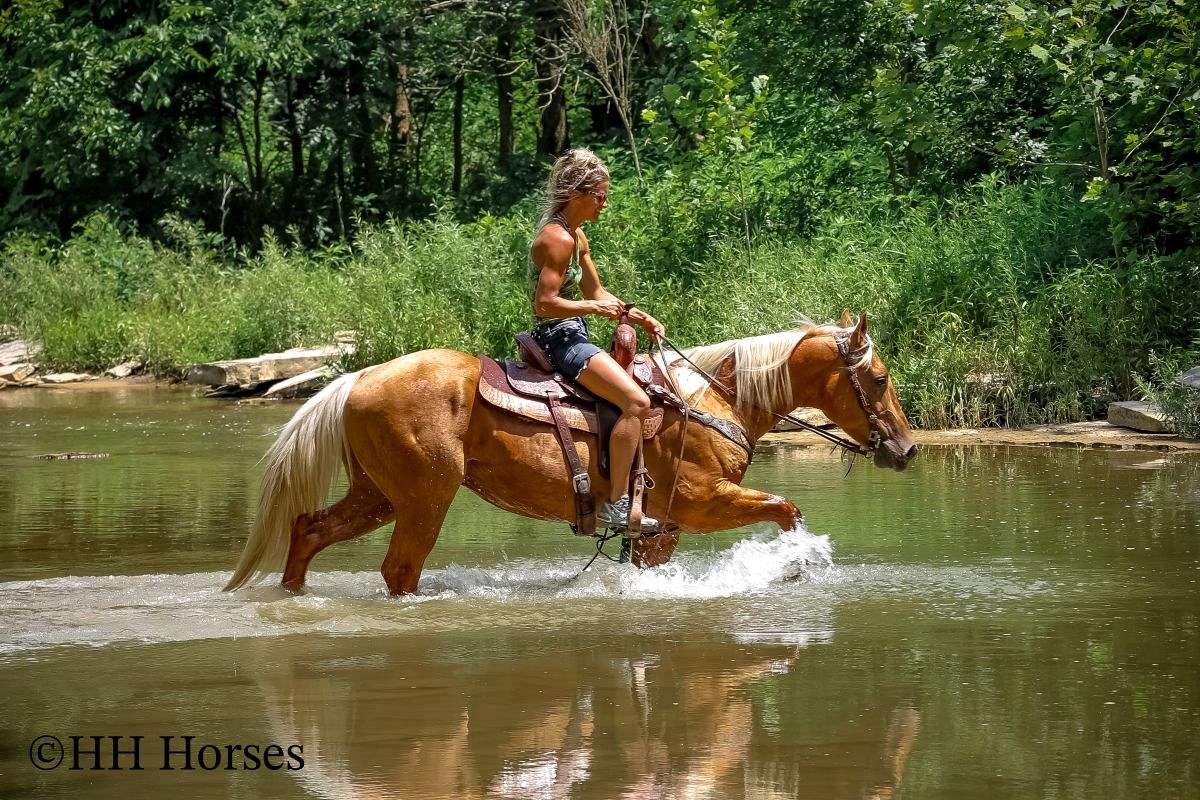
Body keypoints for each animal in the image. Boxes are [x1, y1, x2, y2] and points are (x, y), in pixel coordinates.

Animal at [222, 310, 917, 595]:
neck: (712, 400)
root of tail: (358, 378)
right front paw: (797, 563)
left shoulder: (661, 529)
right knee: (399, 570)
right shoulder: (700, 503)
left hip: (378, 495)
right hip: (424, 497)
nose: (907, 449)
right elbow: (785, 508)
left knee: (309, 531)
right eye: (880, 378)